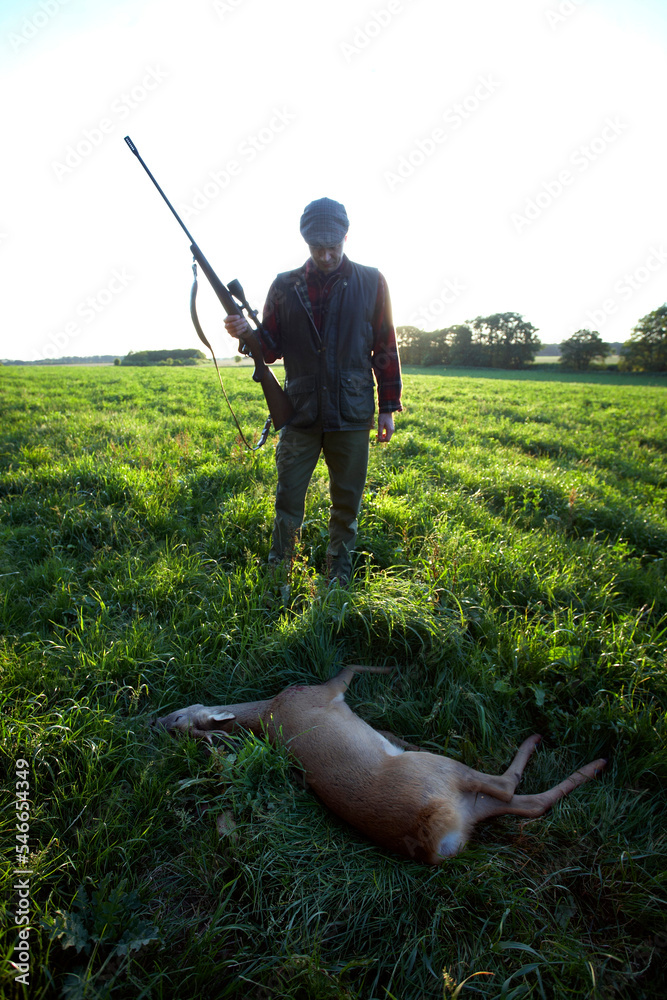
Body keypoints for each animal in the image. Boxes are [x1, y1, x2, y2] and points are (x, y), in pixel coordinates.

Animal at [155, 666, 607, 864]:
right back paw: (569, 752)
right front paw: (395, 668)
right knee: (509, 786)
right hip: (437, 771)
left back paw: (589, 764)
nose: (155, 722)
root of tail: (433, 845)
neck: (267, 711)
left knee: (530, 804)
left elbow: (385, 721)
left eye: (177, 719)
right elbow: (350, 666)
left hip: (470, 805)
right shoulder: (323, 690)